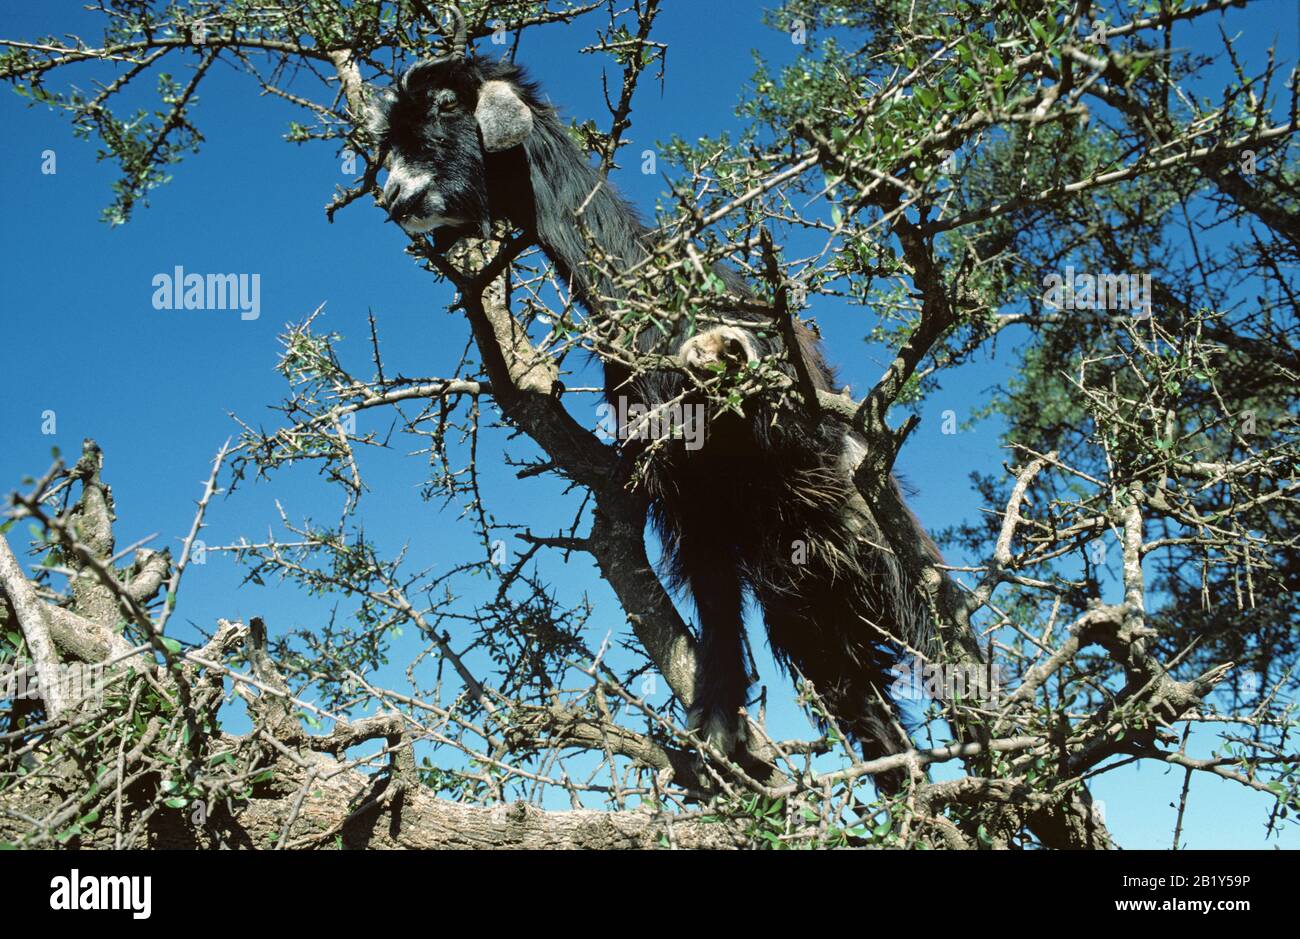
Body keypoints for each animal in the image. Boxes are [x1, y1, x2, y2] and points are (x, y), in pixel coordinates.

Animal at [365, 13, 942, 792]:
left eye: (448, 106)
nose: (393, 195)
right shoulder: (689, 502)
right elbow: (716, 610)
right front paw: (718, 730)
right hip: (810, 607)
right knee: (869, 711)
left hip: (889, 555)